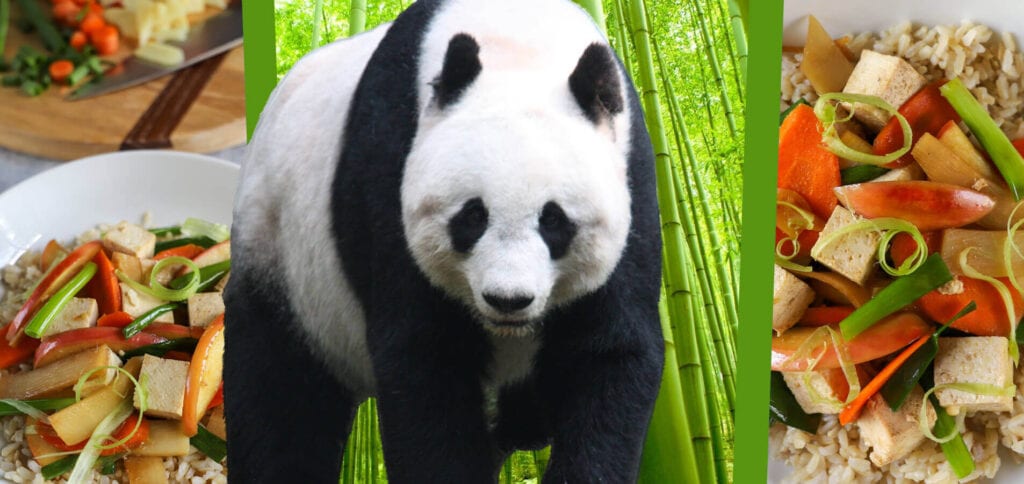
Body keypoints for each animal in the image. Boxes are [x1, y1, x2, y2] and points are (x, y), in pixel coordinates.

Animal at [223, 0, 663, 482]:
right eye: (473, 216)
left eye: (554, 220)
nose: (508, 299)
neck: (518, 45)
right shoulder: (389, 164)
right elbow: (425, 359)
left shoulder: (633, 178)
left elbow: (608, 351)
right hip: (285, 258)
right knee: (281, 400)